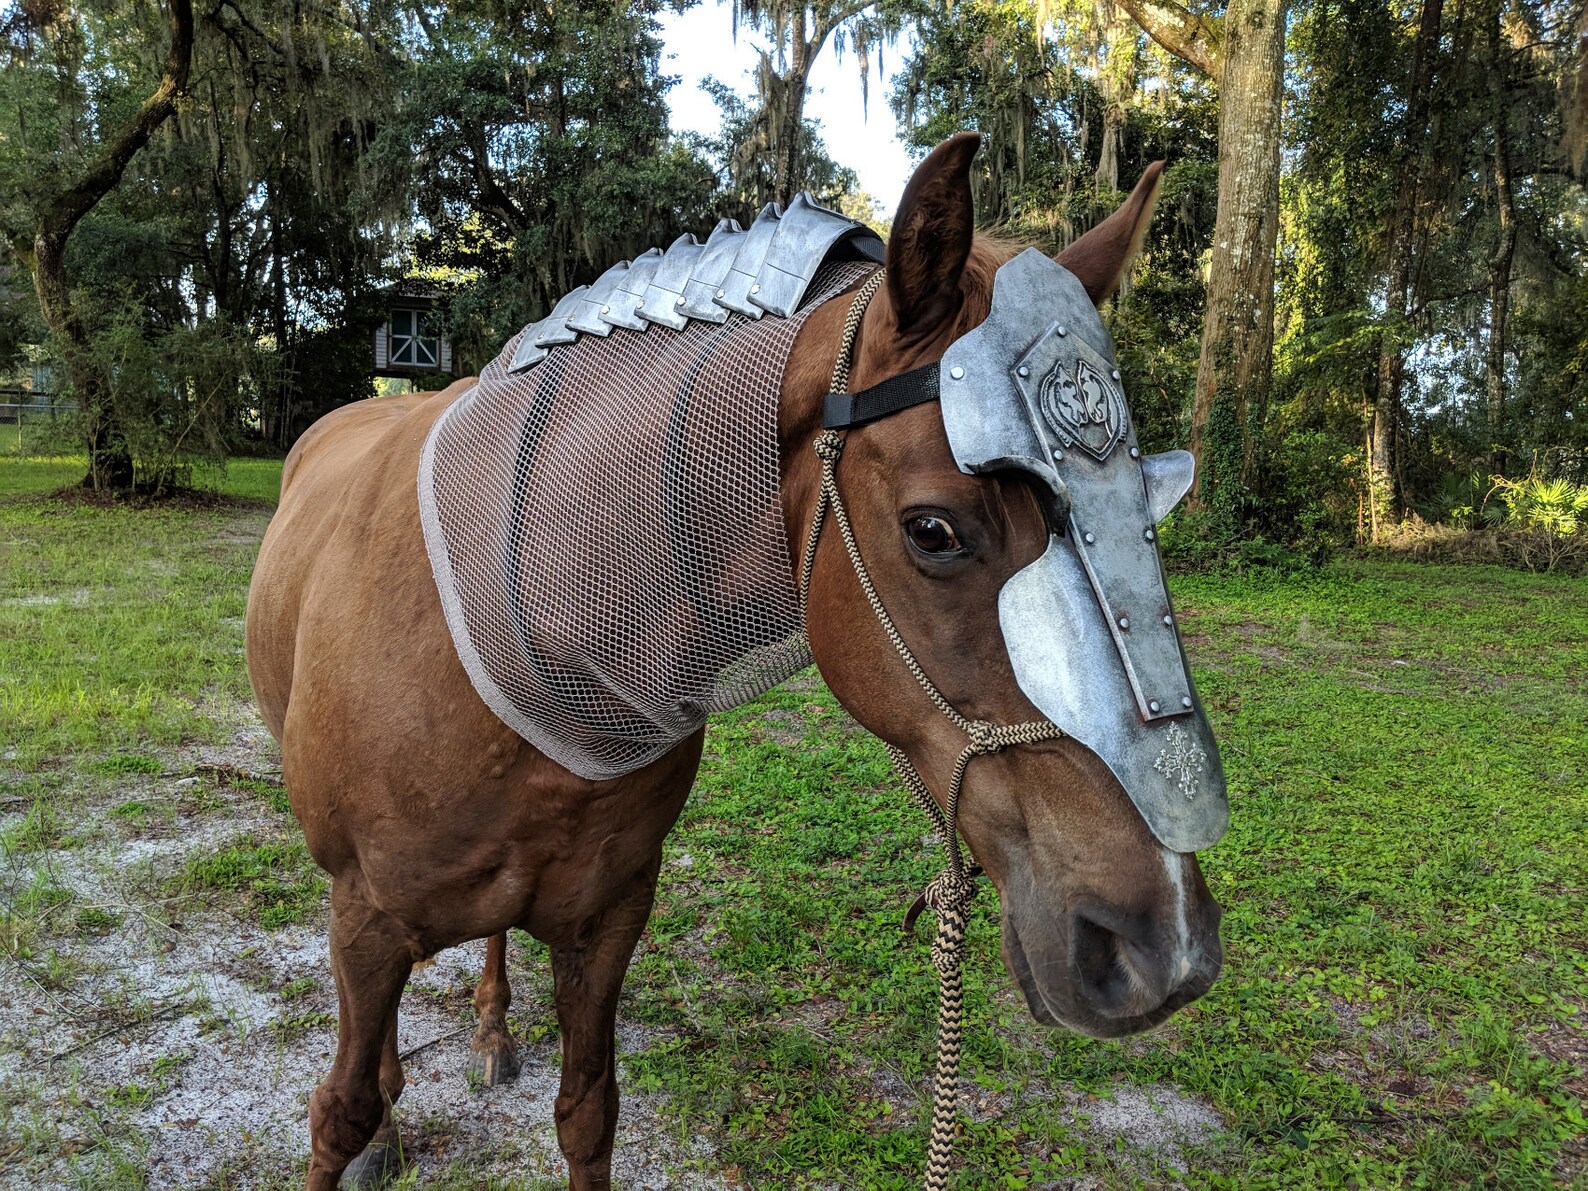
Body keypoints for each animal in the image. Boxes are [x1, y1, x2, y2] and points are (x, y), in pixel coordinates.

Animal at [245, 132, 1224, 1190]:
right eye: (933, 530)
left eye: (1157, 507)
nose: (1162, 947)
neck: (511, 656)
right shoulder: (365, 918)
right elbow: (340, 1110)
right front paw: (373, 1125)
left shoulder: (610, 917)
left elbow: (588, 1115)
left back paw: (492, 1030)